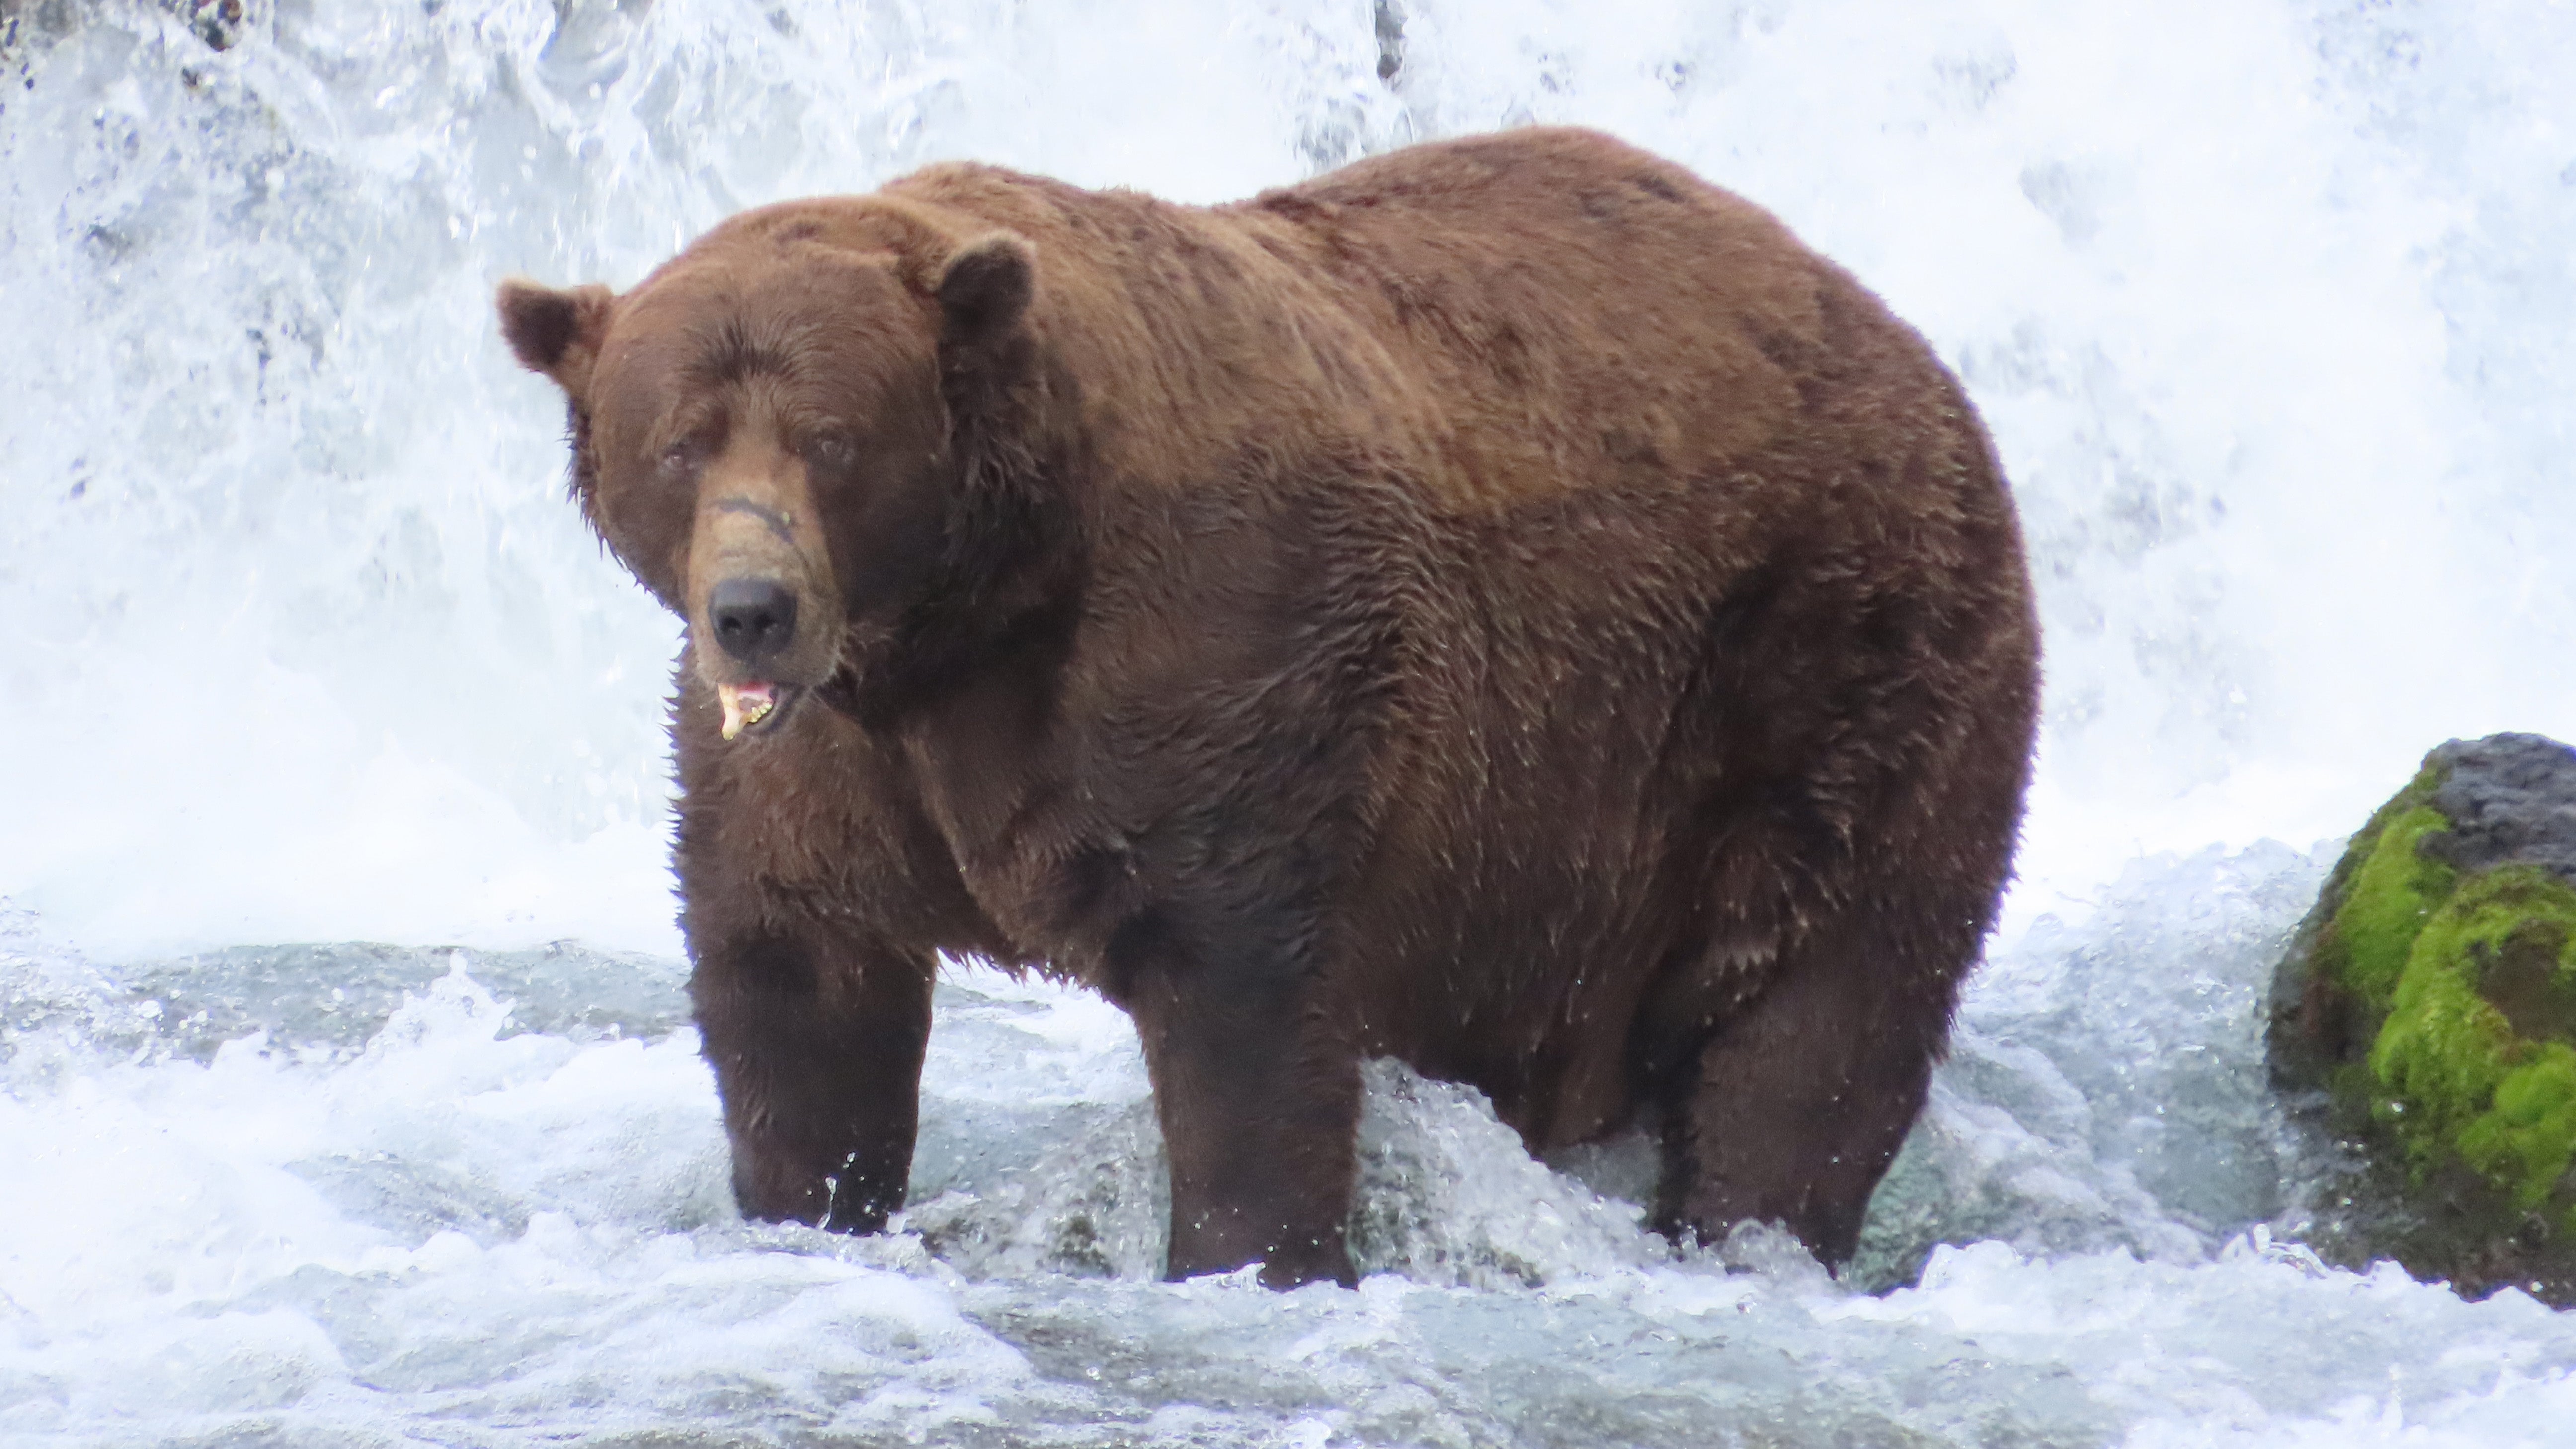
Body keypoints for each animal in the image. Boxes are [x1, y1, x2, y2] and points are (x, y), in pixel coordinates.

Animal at [496, 126, 2040, 1288]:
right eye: (679, 442)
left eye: (831, 438)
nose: (753, 606)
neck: (966, 618)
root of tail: (1897, 336)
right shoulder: (825, 763)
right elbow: (795, 976)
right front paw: (810, 1202)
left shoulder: (1220, 653)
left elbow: (1242, 995)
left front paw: (1247, 1254)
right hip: (1561, 851)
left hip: (1835, 666)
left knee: (1821, 1016)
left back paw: (1750, 1232)